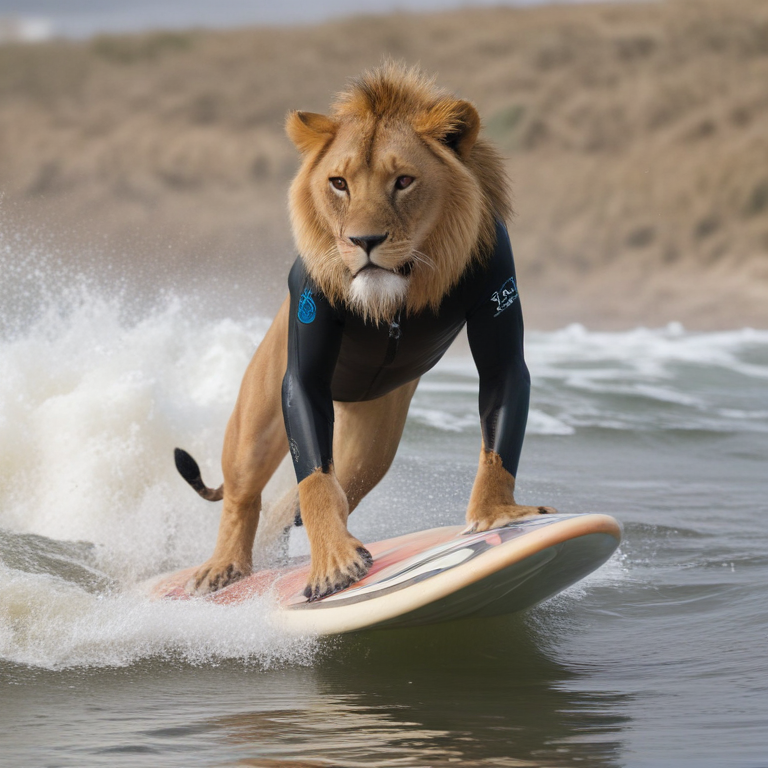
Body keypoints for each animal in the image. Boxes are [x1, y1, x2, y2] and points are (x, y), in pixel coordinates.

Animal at [175, 62, 554, 600]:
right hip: (258, 419)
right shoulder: (306, 324)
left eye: (403, 181)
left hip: (370, 445)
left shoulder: (496, 274)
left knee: (299, 502)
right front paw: (333, 562)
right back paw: (225, 568)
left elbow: (500, 393)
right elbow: (314, 477)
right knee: (245, 496)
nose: (364, 240)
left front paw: (496, 514)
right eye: (339, 183)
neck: (394, 295)